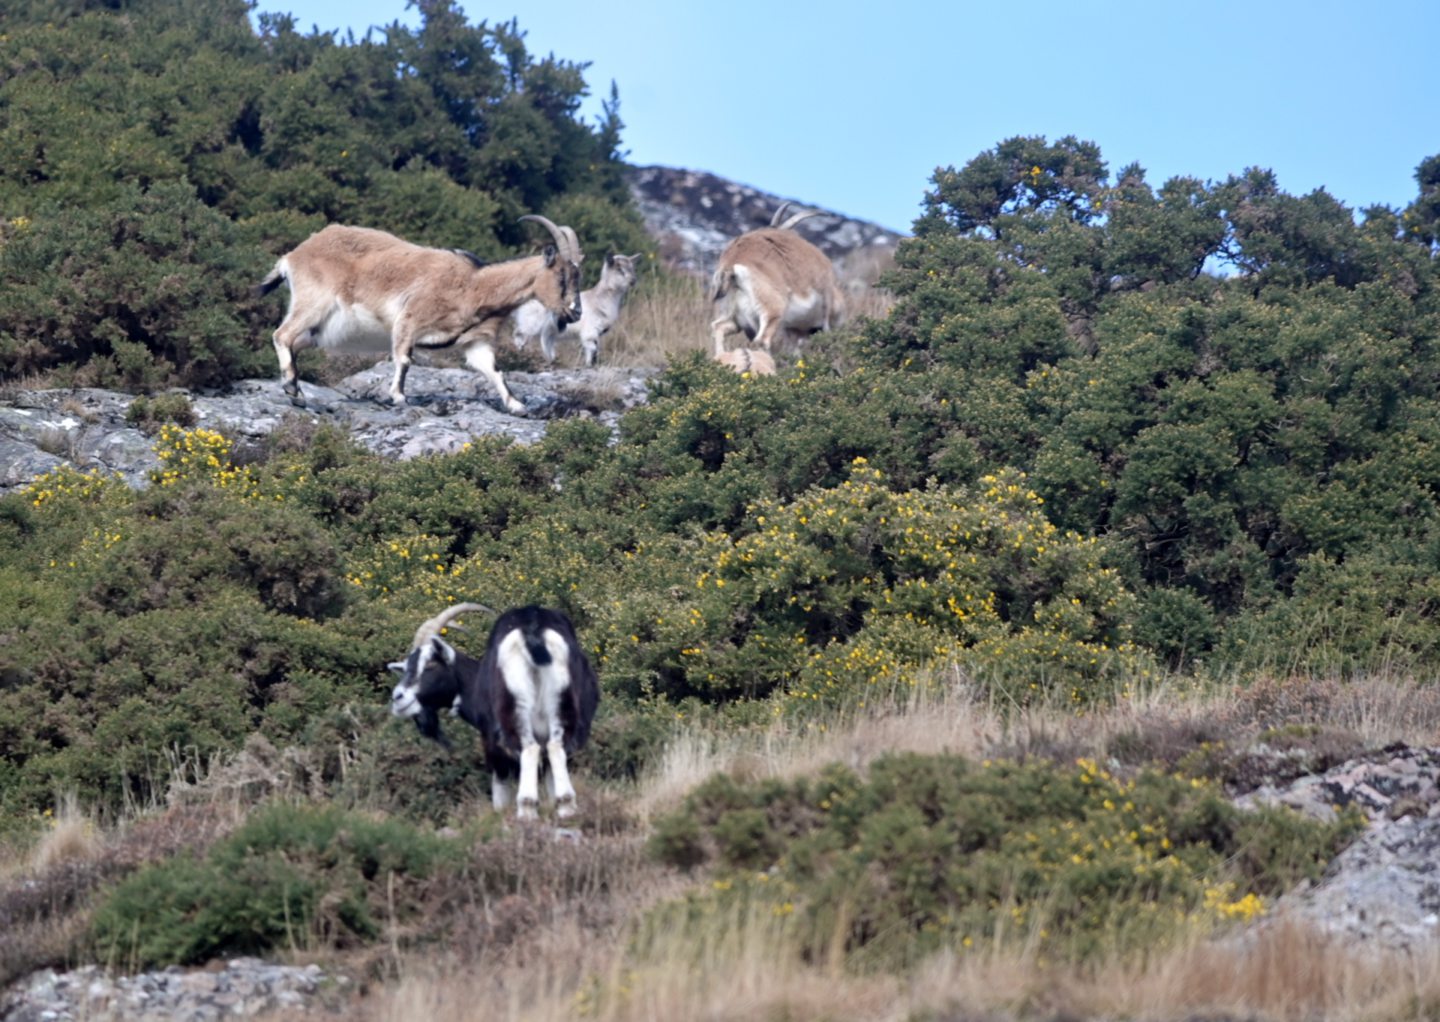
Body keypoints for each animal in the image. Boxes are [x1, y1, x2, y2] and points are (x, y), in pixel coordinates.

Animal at [256, 216, 583, 412]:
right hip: (313, 302)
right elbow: (404, 358)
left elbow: (493, 371)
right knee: (281, 335)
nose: (576, 312)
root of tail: (293, 256)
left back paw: (294, 388)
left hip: (323, 329)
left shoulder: (474, 341)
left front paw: (516, 405)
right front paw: (399, 397)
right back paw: (293, 388)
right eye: (562, 277)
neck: (475, 285)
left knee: (293, 343)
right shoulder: (410, 318)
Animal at [389, 602, 600, 820]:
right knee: (555, 747)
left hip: (513, 714)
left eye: (431, 664)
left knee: (530, 748)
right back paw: (567, 807)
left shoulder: (492, 742)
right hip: (562, 708)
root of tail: (532, 631)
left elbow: (500, 794)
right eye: (406, 668)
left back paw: (526, 810)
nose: (398, 697)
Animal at [512, 252, 641, 366]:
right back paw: (521, 354)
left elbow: (593, 348)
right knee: (518, 334)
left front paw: (590, 364)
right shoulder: (590, 330)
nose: (633, 281)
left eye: (632, 269)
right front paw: (590, 364)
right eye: (619, 270)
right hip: (531, 322)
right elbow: (592, 347)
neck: (600, 300)